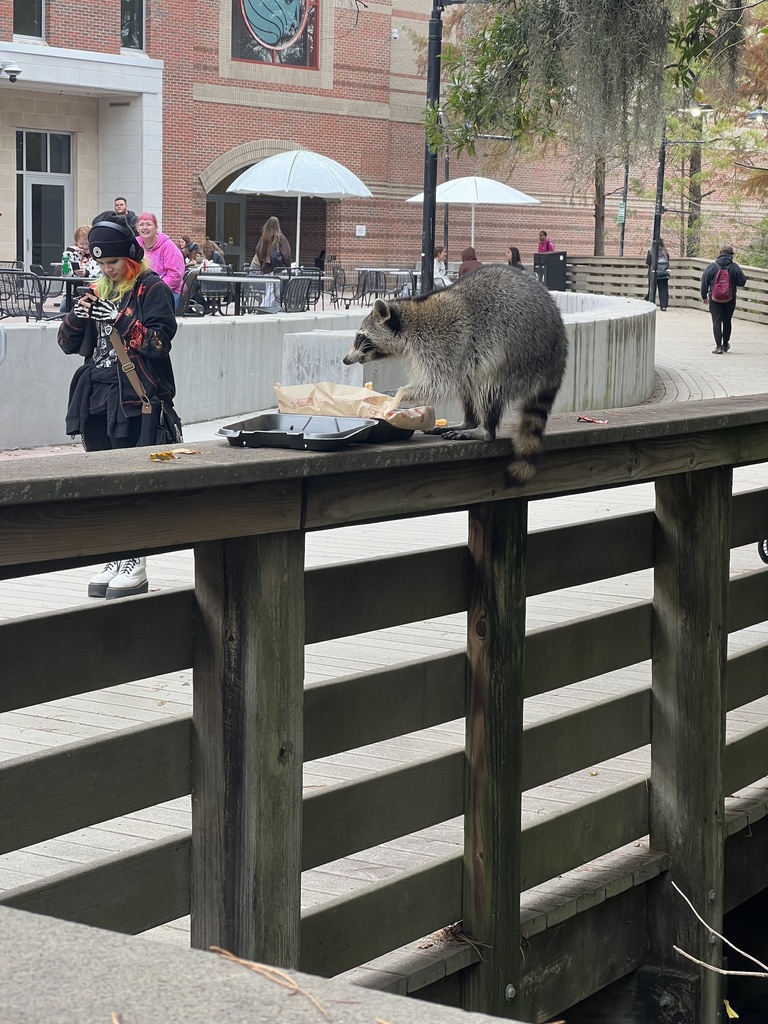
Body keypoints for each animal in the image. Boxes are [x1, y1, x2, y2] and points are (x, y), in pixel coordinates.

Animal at [342, 265, 568, 483]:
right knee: (469, 382)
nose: (345, 360)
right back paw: (469, 420)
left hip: (518, 353)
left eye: (360, 338)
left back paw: (484, 429)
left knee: (487, 384)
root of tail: (558, 348)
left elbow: (439, 383)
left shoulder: (442, 345)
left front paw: (397, 393)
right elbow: (454, 383)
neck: (408, 323)